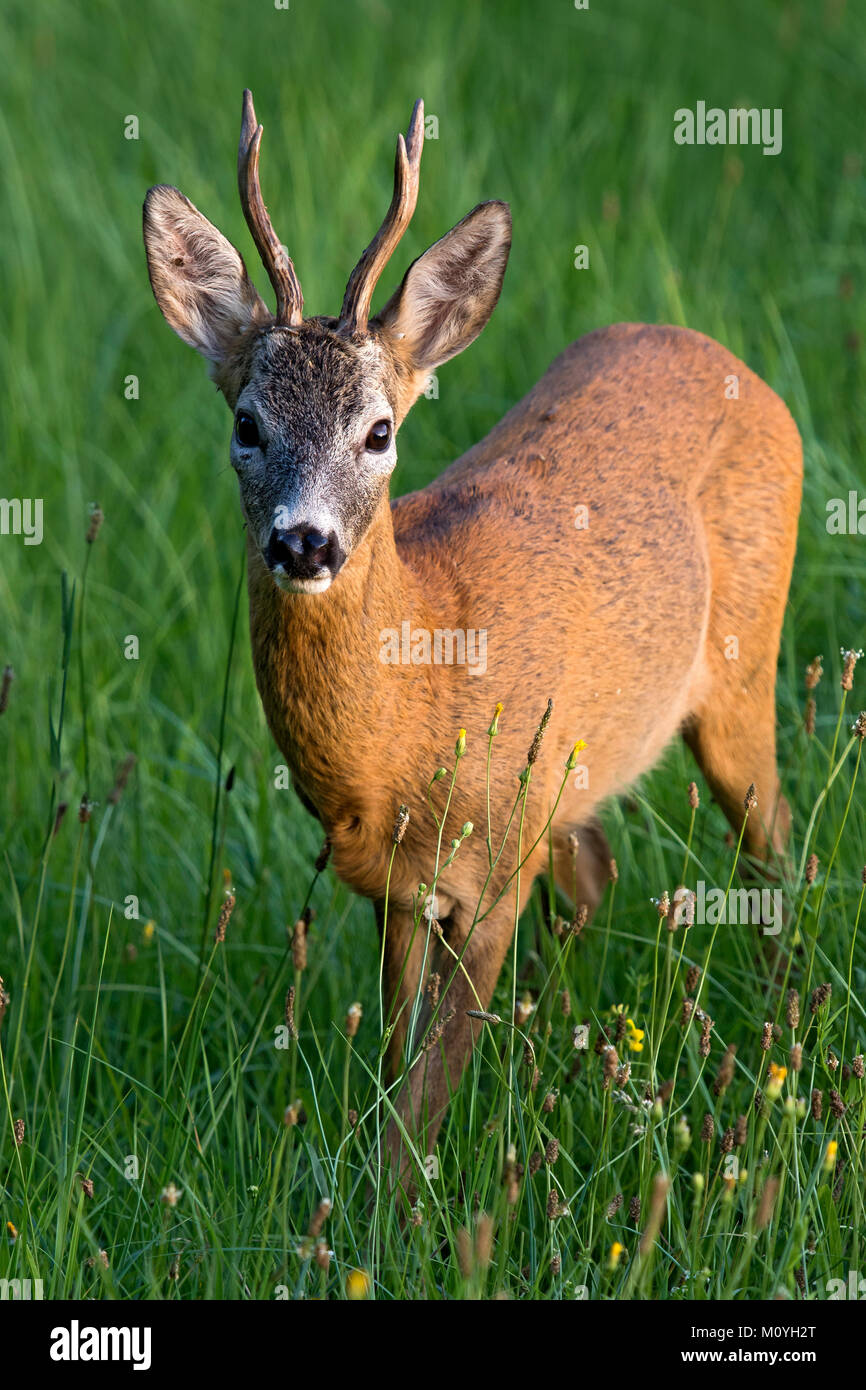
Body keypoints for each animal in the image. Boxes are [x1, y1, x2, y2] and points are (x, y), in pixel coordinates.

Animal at [143, 91, 802, 1172]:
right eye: (245, 422)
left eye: (379, 430)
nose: (304, 542)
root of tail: (721, 354)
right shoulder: (399, 890)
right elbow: (396, 1066)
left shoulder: (494, 870)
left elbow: (419, 1102)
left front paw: (392, 1206)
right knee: (597, 873)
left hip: (741, 678)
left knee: (774, 850)